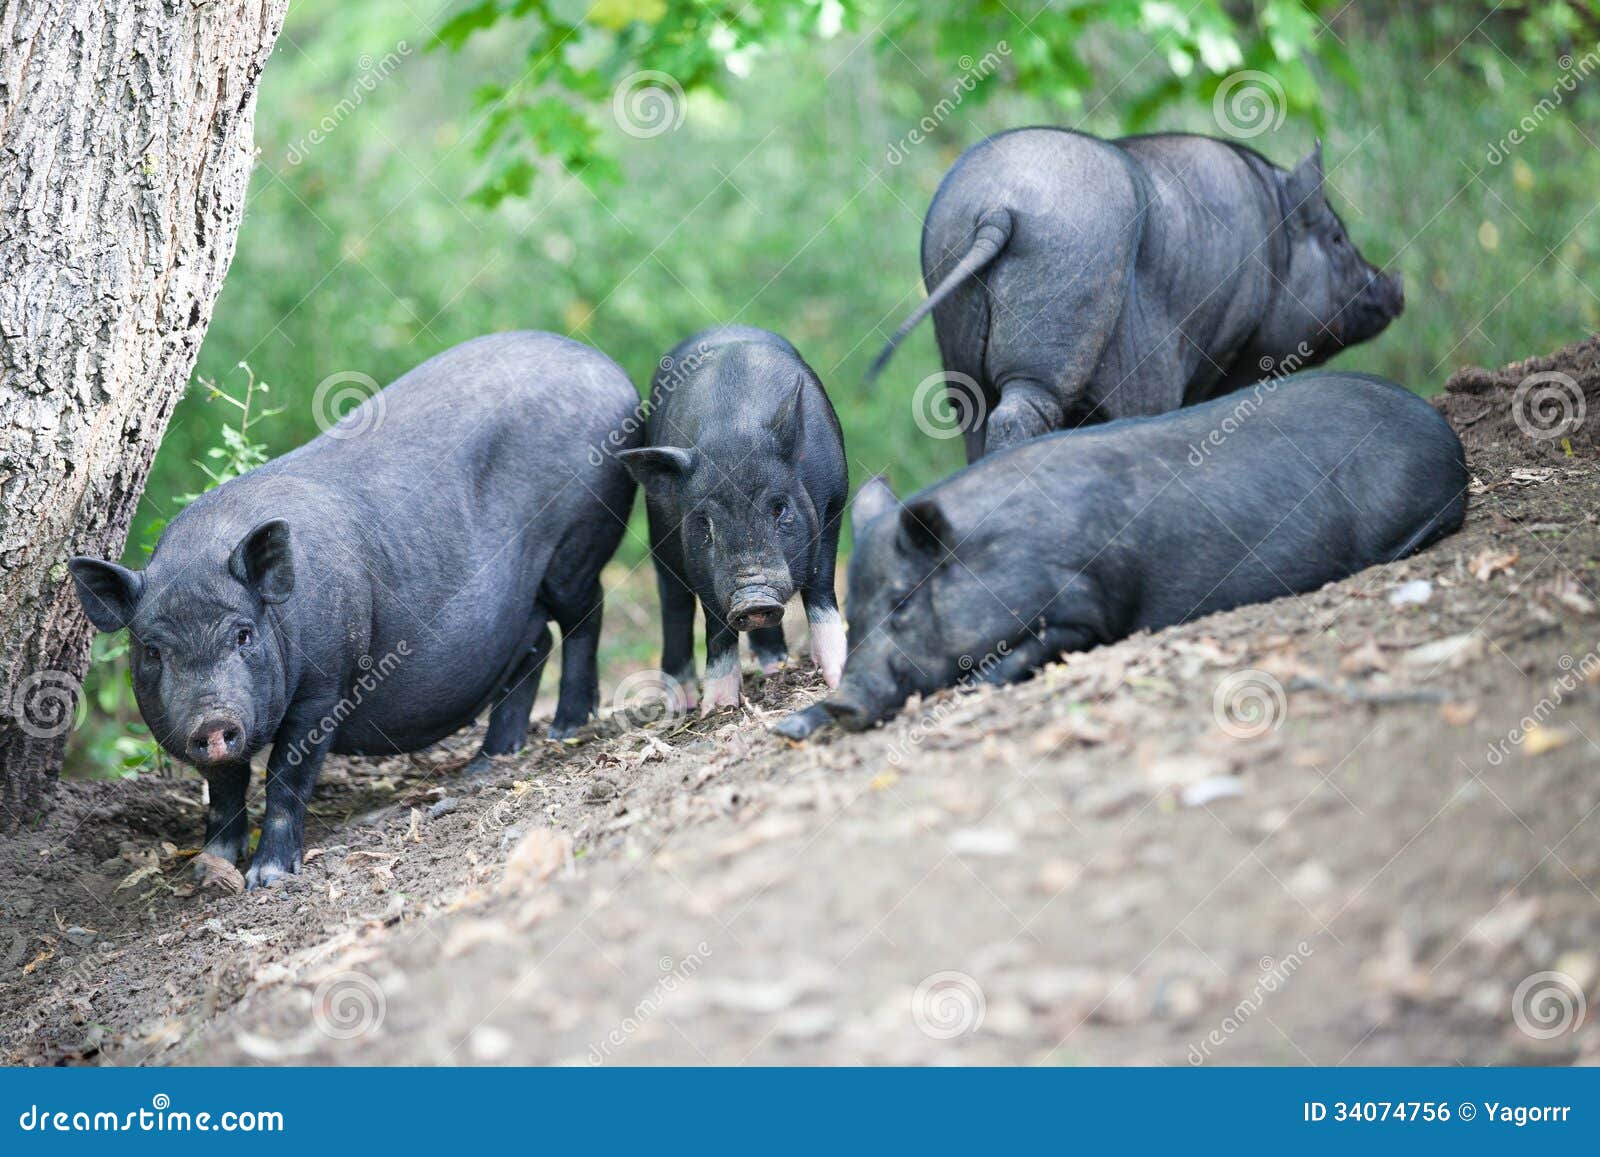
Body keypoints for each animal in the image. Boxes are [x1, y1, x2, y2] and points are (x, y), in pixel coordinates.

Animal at [68, 332, 639, 888]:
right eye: (152, 650)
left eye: (244, 635)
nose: (212, 720)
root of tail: (611, 371)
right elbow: (225, 787)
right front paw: (210, 870)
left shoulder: (326, 684)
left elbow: (285, 776)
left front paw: (267, 879)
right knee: (534, 645)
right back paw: (487, 763)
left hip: (578, 539)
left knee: (584, 615)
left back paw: (566, 727)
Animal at [619, 326, 849, 712]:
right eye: (705, 524)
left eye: (779, 508)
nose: (753, 599)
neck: (734, 429)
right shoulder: (699, 566)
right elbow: (715, 624)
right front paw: (718, 707)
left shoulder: (832, 507)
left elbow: (820, 589)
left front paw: (837, 678)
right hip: (659, 539)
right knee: (675, 607)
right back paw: (681, 703)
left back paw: (776, 667)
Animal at [776, 370, 1465, 739]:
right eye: (859, 614)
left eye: (904, 602)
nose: (846, 700)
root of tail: (1449, 441)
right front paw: (792, 725)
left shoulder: (1088, 606)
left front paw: (973, 685)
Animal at [869, 130, 1405, 461]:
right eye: (1337, 239)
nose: (1396, 284)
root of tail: (996, 207)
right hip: (1058, 337)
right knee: (1021, 416)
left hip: (957, 341)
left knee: (975, 424)